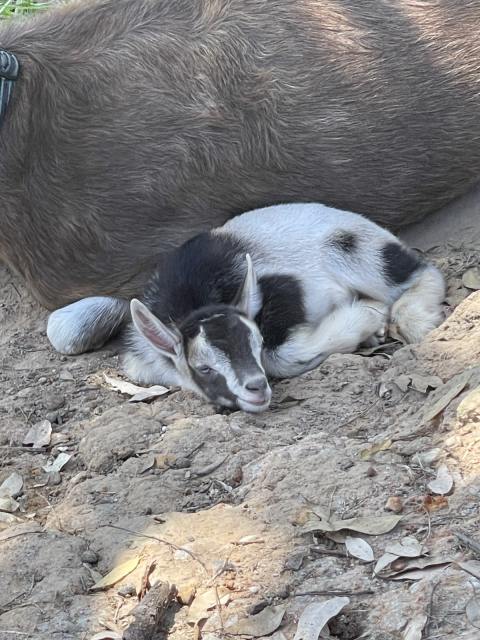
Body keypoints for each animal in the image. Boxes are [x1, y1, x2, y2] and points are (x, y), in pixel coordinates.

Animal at [47, 203, 446, 412]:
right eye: (203, 368)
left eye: (255, 343)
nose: (256, 388)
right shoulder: (143, 360)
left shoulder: (282, 289)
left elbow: (281, 354)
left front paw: (367, 317)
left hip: (352, 249)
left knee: (422, 273)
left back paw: (415, 319)